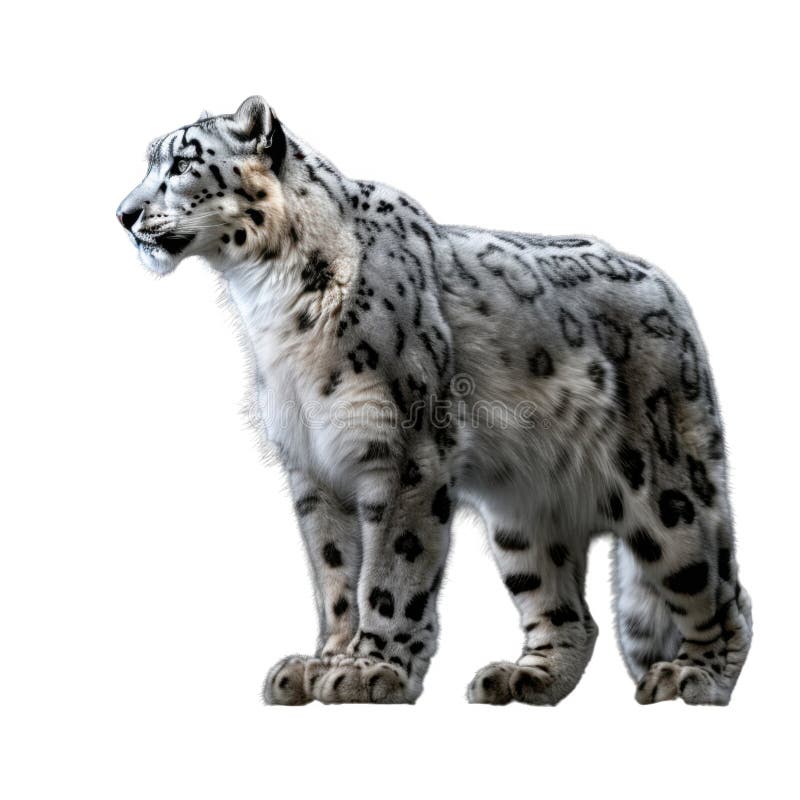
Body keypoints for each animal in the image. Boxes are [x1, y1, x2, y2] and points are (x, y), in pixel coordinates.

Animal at [117, 96, 752, 705]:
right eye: (152, 163)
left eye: (182, 164)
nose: (123, 214)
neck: (269, 306)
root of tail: (668, 291)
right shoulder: (313, 466)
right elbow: (334, 573)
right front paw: (323, 661)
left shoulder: (405, 450)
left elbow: (391, 571)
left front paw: (369, 670)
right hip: (523, 516)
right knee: (568, 611)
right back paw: (524, 680)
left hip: (666, 487)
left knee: (721, 590)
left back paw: (692, 678)